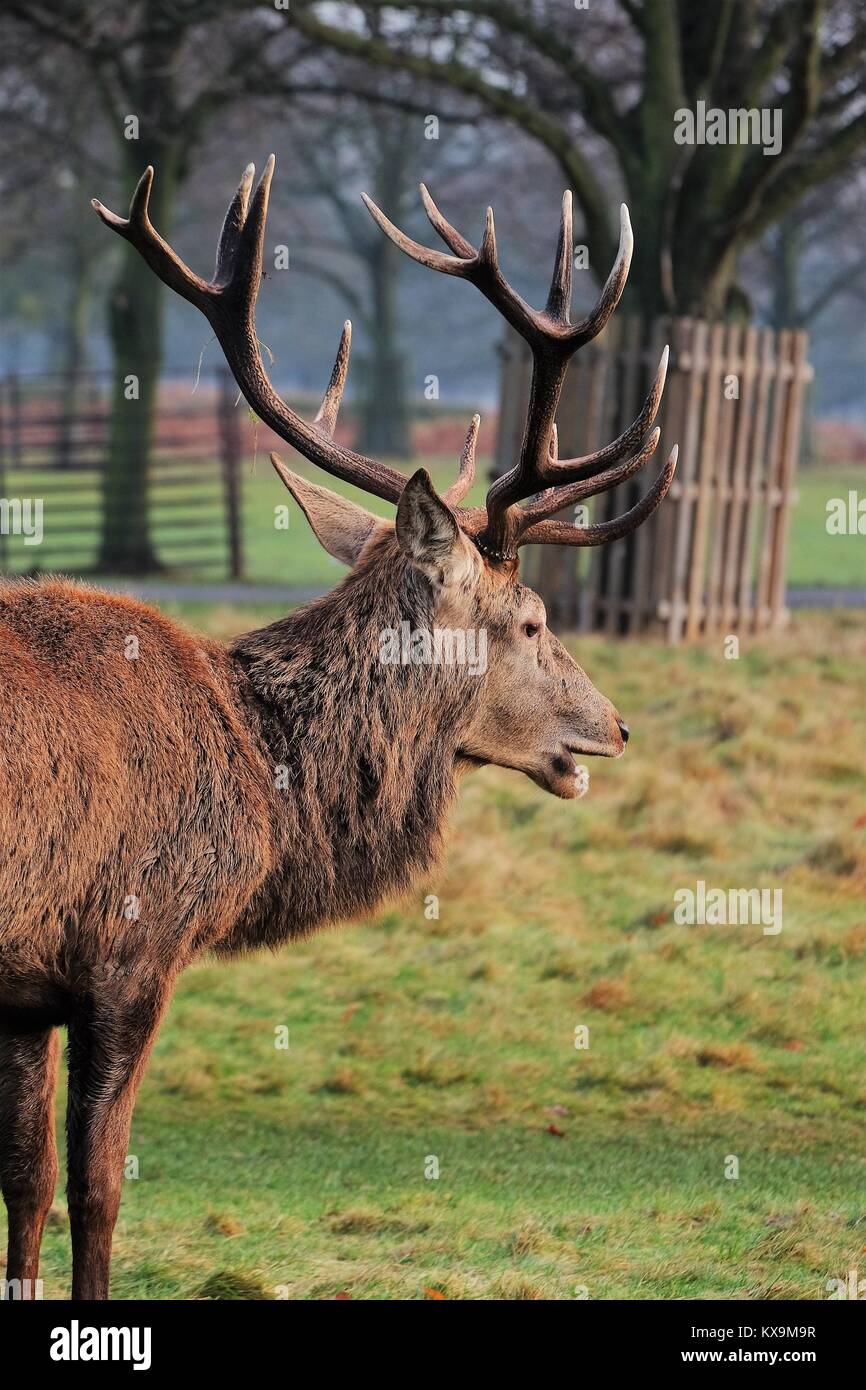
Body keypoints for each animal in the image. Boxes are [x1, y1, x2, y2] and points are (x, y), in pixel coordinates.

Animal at [0, 155, 676, 1301]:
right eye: (533, 619)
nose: (616, 728)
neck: (256, 778)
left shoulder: (23, 996)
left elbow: (23, 1188)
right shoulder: (128, 947)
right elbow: (95, 1188)